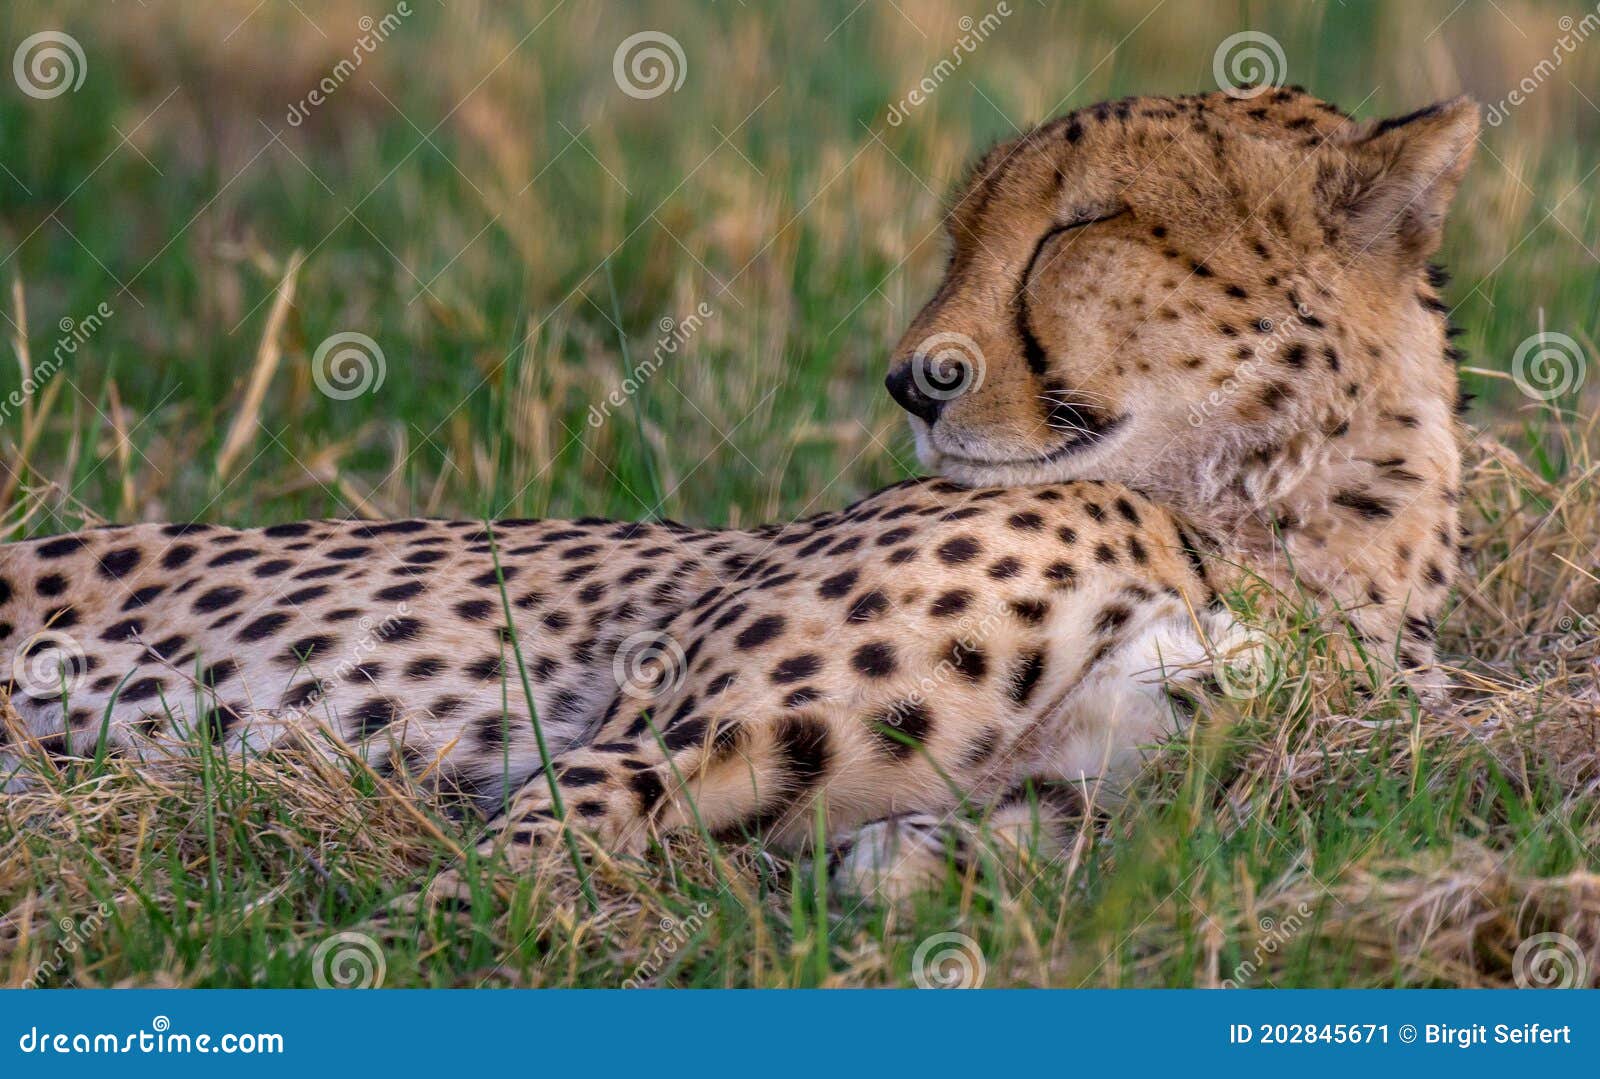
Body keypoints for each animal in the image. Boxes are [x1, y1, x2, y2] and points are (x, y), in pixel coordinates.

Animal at [0, 87, 1476, 903]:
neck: (1281, 525)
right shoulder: (634, 734)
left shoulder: (1103, 784)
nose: (913, 379)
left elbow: (989, 842)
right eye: (963, 234)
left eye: (1081, 229)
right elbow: (510, 879)